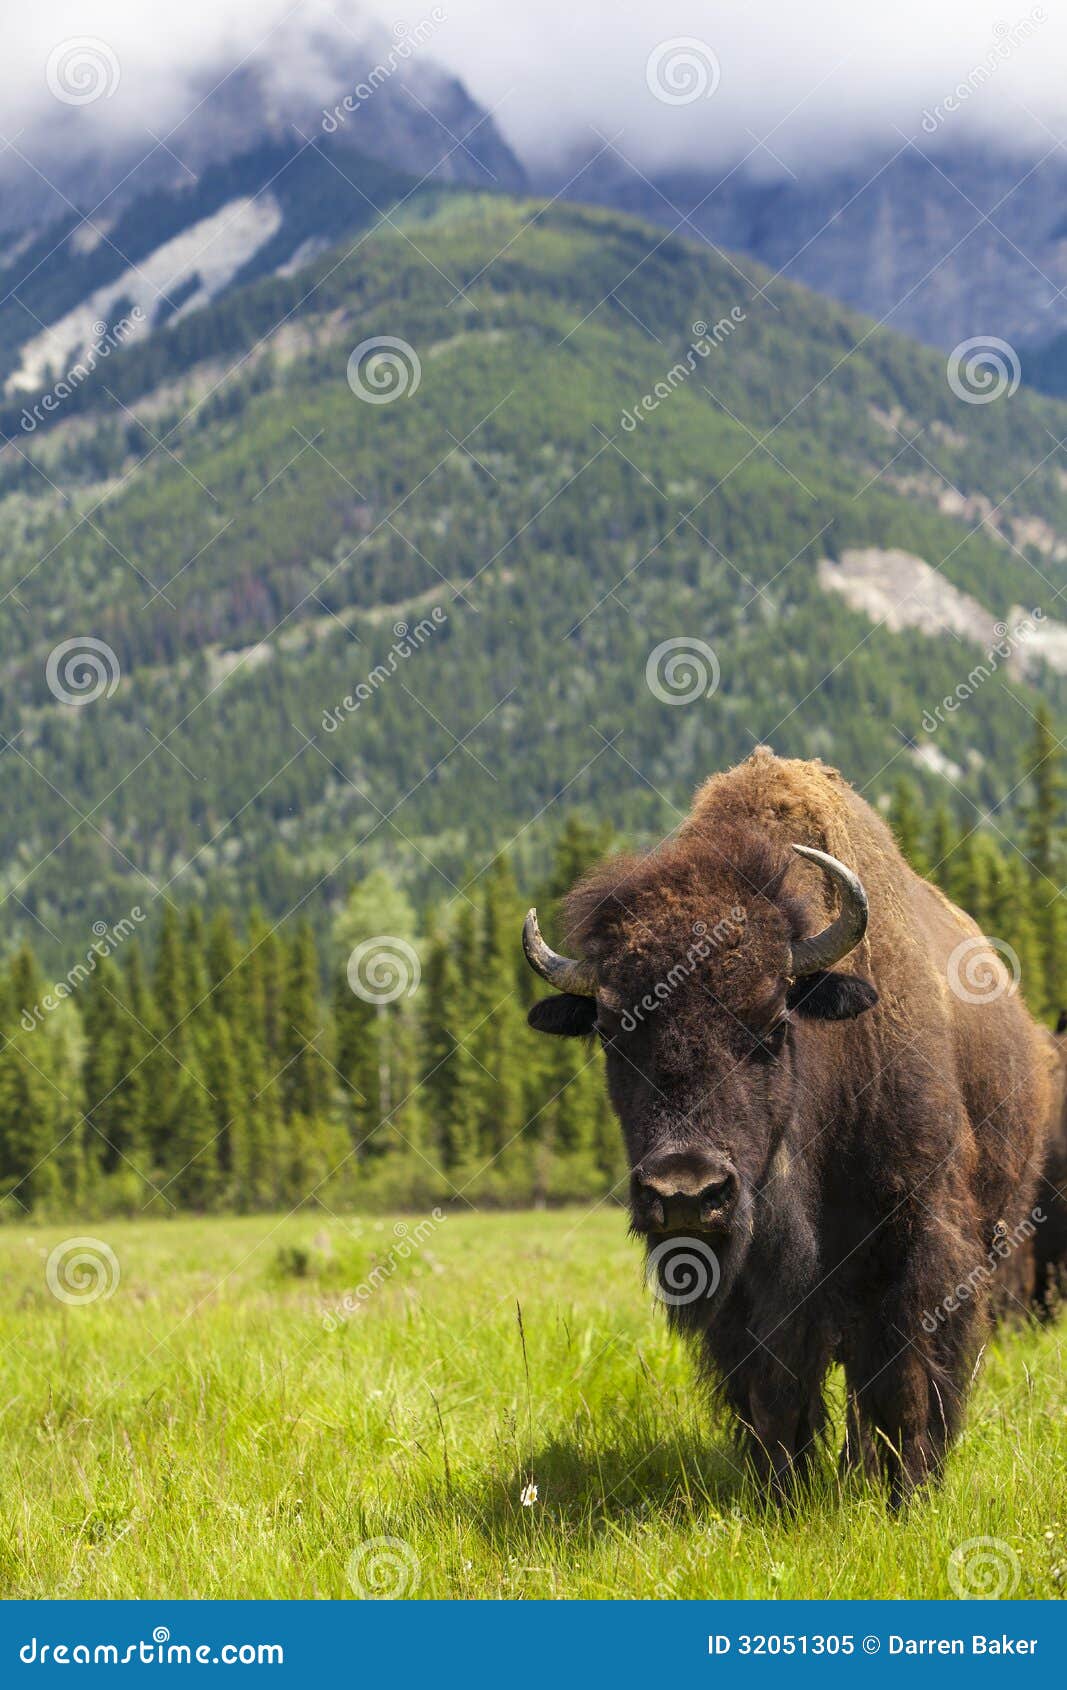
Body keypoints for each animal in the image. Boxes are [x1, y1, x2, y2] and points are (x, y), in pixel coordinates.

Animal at [523, 747, 1061, 1505]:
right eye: (610, 1030)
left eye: (774, 1022)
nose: (685, 1191)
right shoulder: (745, 1286)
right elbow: (773, 1390)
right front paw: (782, 1495)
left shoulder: (915, 1237)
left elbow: (906, 1377)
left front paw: (908, 1497)